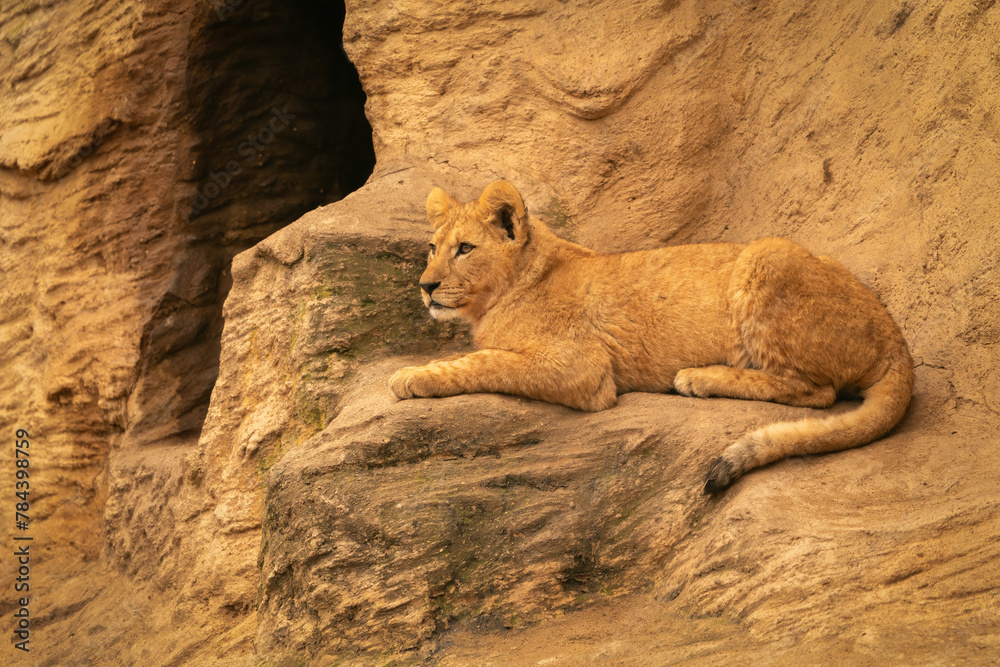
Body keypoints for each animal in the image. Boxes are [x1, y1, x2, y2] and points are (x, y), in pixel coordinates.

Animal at [389, 180, 914, 493]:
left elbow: (487, 361)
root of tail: (894, 336)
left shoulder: (581, 369)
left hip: (767, 255)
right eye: (432, 248)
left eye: (465, 249)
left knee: (816, 391)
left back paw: (698, 378)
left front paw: (412, 376)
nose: (426, 286)